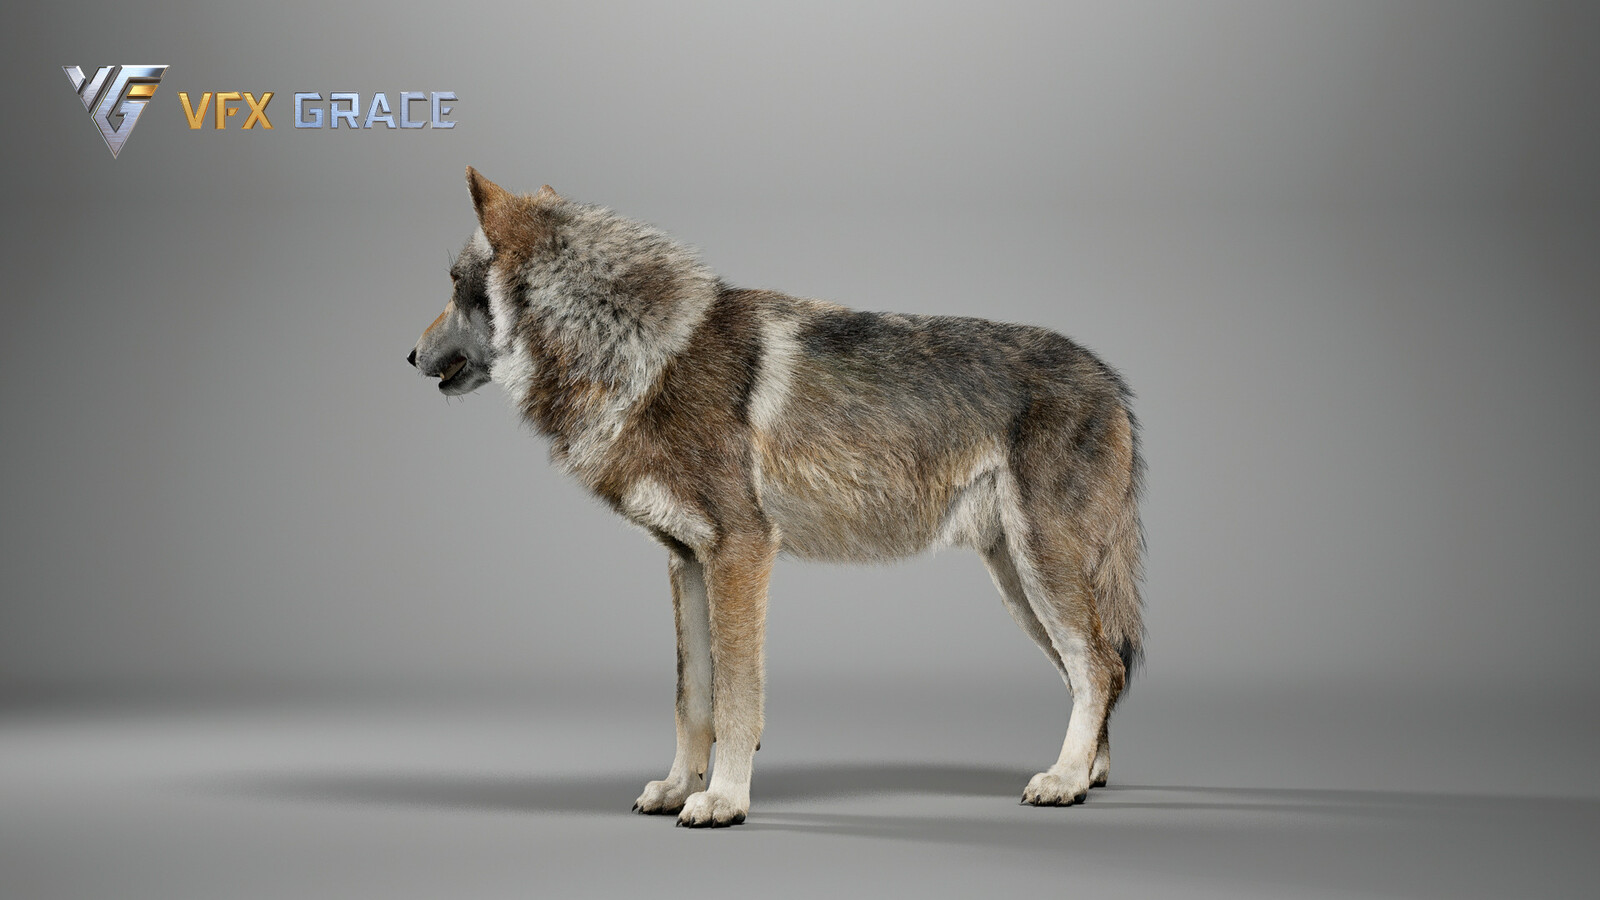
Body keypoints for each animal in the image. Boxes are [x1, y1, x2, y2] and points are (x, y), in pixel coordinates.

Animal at [408, 168, 1145, 827]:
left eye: (452, 286)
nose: (410, 356)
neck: (639, 356)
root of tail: (1111, 379)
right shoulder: (687, 562)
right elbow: (692, 699)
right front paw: (678, 789)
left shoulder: (742, 553)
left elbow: (737, 698)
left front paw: (725, 801)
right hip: (1020, 583)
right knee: (1098, 669)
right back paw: (1089, 776)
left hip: (1040, 572)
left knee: (1098, 666)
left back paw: (1064, 781)